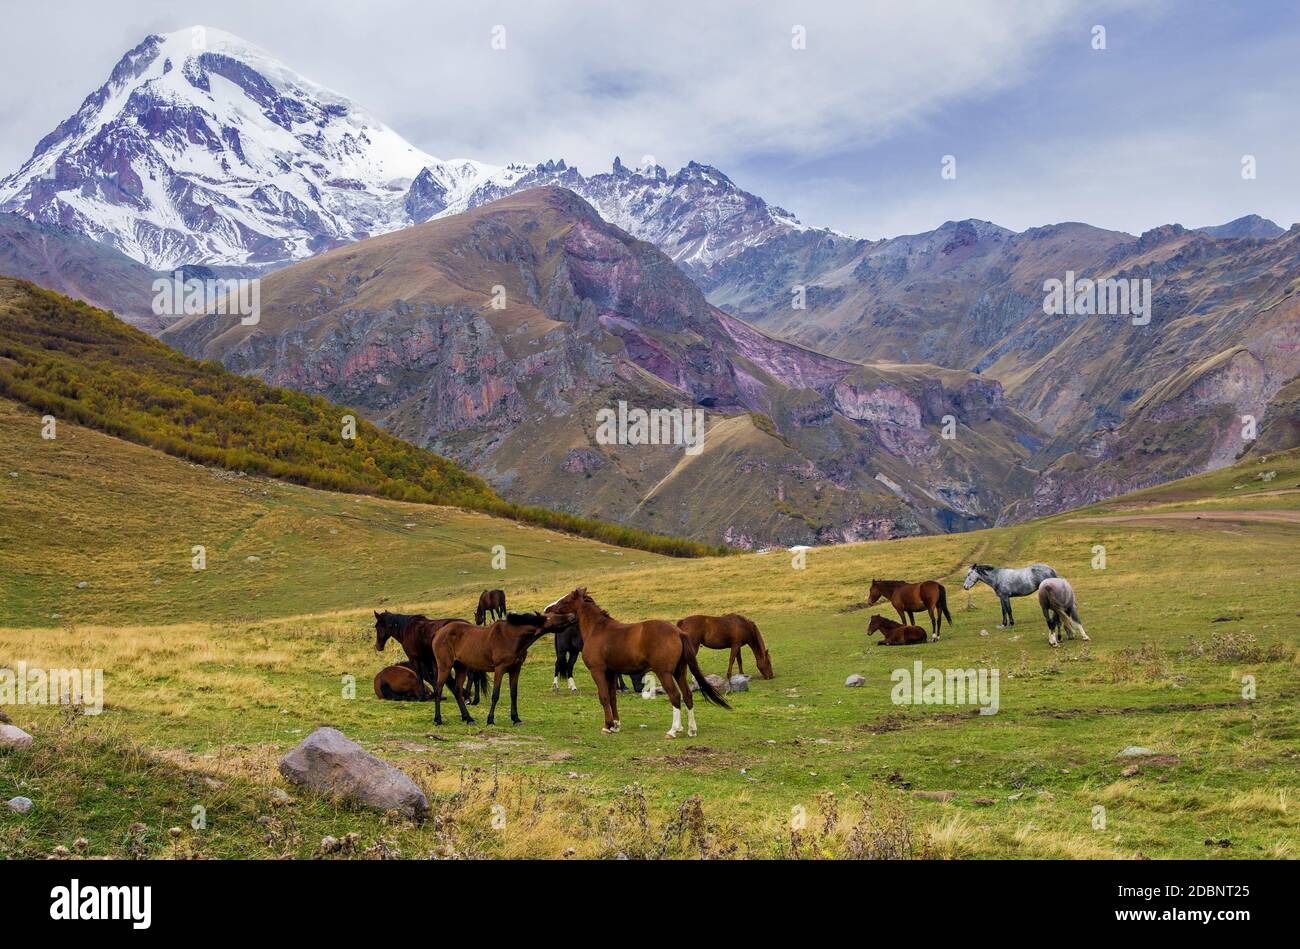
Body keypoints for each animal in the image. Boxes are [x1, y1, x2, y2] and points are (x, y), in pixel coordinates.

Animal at [544, 588, 729, 737]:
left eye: (566, 600)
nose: (547, 609)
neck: (597, 630)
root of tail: (678, 632)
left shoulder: (598, 671)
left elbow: (603, 697)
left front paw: (607, 726)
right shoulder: (611, 672)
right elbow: (612, 698)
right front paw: (616, 725)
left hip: (664, 674)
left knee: (675, 696)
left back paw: (673, 730)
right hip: (679, 672)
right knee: (688, 696)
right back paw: (691, 729)